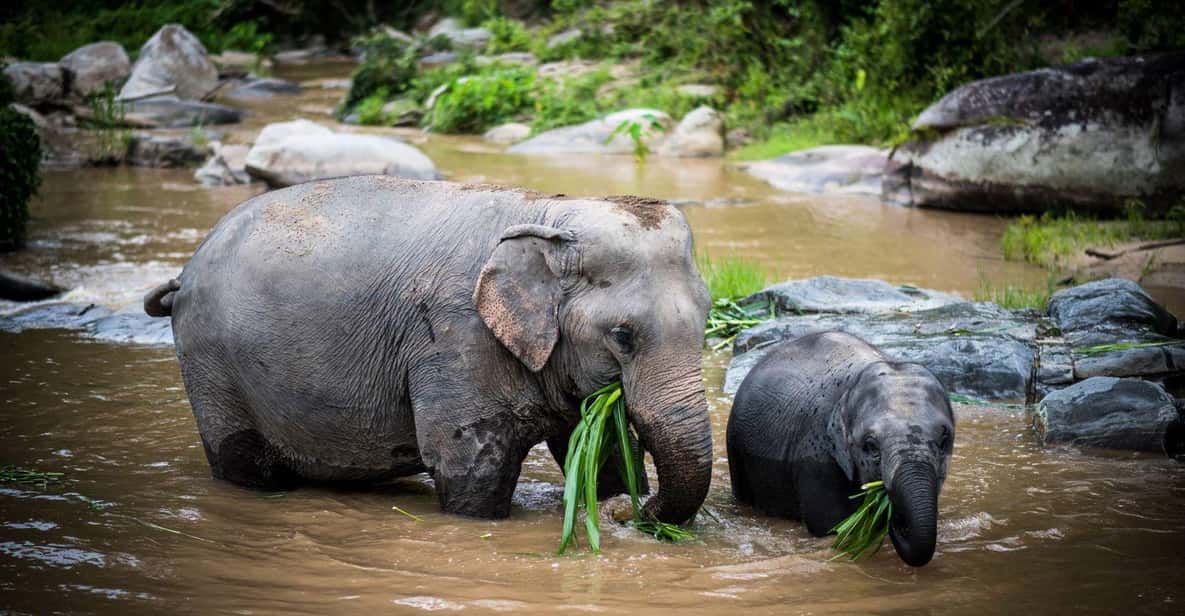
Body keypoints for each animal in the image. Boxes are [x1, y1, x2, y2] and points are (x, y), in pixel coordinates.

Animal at [143, 176, 713, 523]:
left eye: (707, 320)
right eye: (623, 336)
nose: (632, 513)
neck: (547, 210)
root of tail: (183, 275)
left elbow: (603, 450)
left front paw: (612, 498)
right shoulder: (454, 336)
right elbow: (472, 465)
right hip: (212, 365)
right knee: (244, 464)